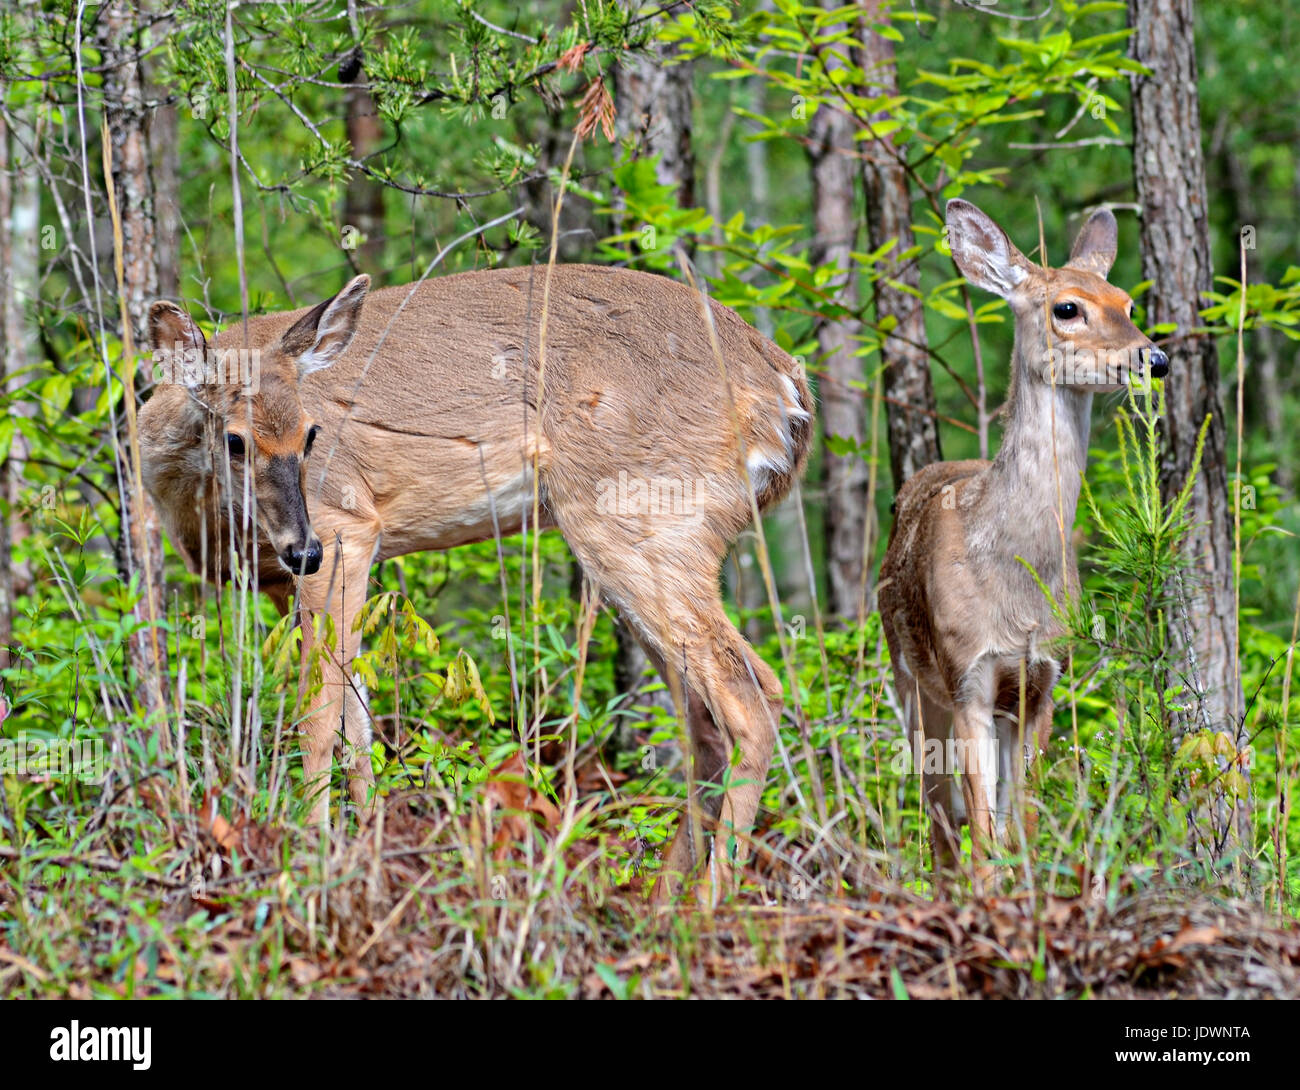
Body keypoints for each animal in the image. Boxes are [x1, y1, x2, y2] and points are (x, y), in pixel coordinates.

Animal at [139, 263, 812, 899]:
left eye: (311, 434)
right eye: (234, 440)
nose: (301, 550)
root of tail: (786, 384)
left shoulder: (345, 526)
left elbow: (319, 716)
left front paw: (310, 861)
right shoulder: (297, 573)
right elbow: (357, 720)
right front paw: (367, 850)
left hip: (645, 511)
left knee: (752, 695)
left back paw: (710, 903)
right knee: (706, 727)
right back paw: (662, 903)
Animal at [877, 199, 1169, 888]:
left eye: (1128, 302)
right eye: (1066, 308)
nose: (1154, 359)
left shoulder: (1043, 678)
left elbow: (1025, 824)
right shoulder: (967, 676)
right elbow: (982, 833)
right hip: (910, 683)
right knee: (938, 820)